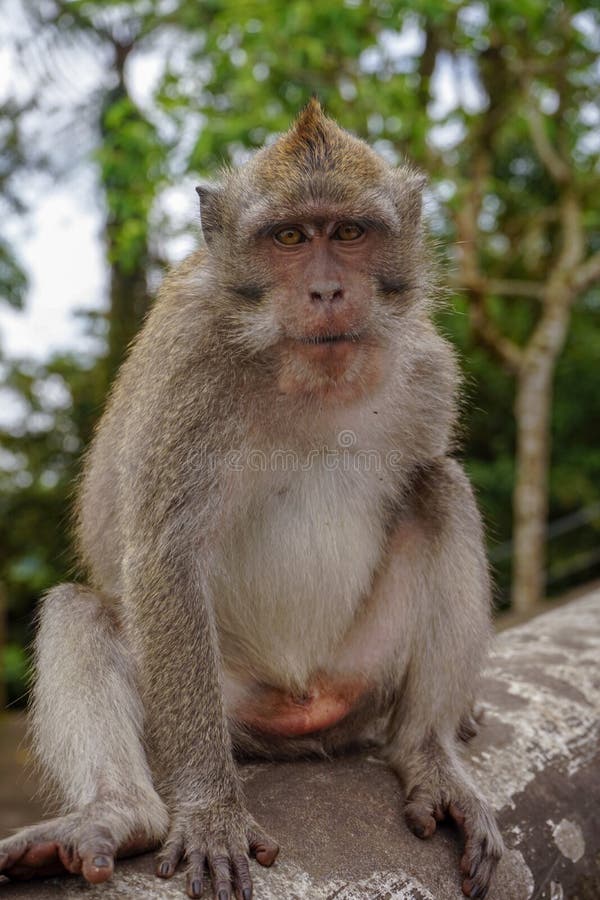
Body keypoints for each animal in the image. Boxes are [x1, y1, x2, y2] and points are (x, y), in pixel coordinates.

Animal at [0, 100, 503, 899]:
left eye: (350, 233)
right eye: (290, 237)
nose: (327, 292)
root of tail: (301, 707)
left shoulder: (429, 367)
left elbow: (429, 471)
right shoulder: (191, 367)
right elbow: (164, 552)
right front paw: (210, 810)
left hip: (360, 671)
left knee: (440, 491)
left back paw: (426, 753)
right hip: (227, 703)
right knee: (81, 611)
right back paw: (120, 814)